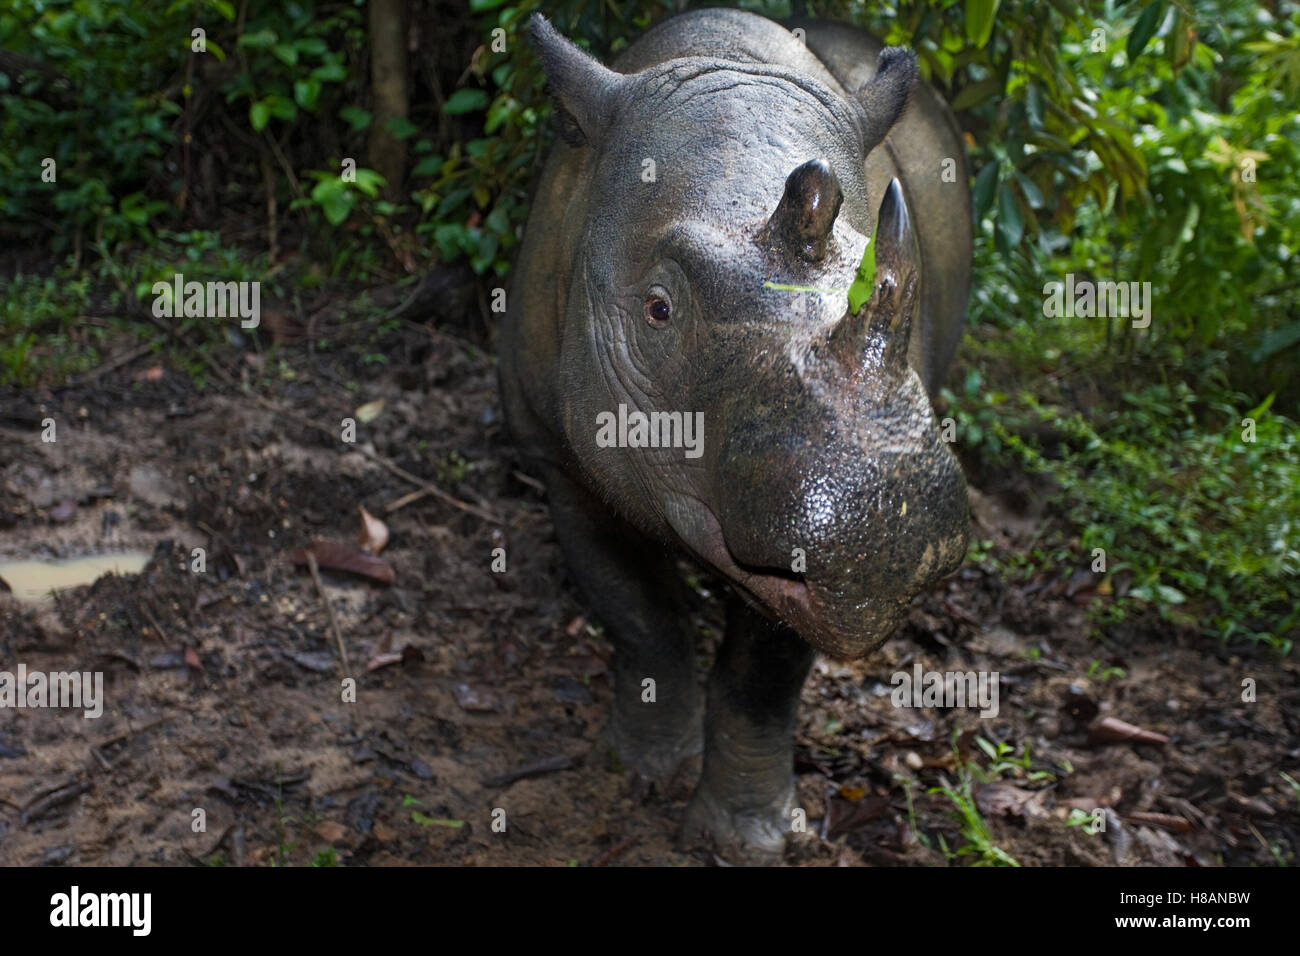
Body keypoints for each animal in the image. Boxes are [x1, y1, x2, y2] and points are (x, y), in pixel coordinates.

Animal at [499, 7, 972, 864]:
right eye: (657, 309)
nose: (893, 532)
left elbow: (763, 677)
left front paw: (738, 839)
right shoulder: (556, 454)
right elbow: (640, 617)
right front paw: (642, 767)